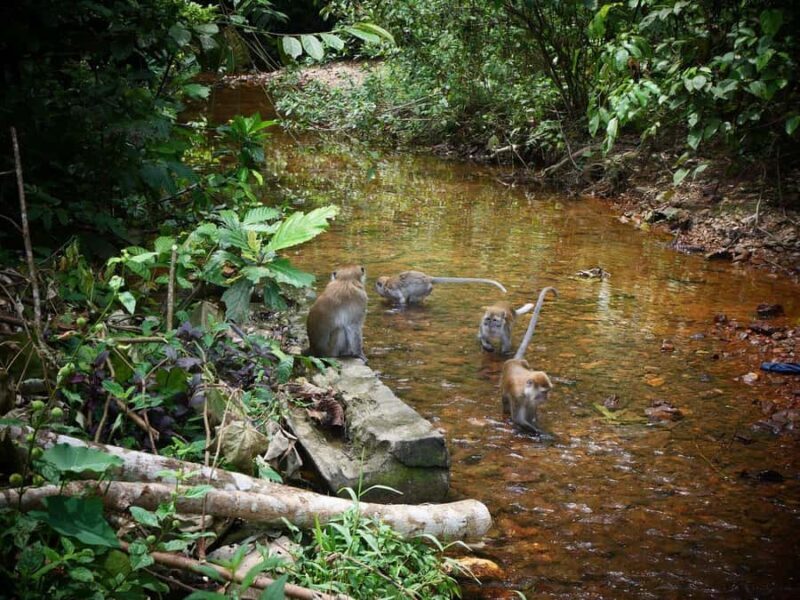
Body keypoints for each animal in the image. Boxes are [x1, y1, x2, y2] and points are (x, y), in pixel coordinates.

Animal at [374, 270, 507, 305]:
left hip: (419, 289)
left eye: (377, 284)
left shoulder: (391, 289)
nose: (375, 289)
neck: (386, 283)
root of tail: (429, 278)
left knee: (412, 297)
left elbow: (401, 300)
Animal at [499, 287, 558, 434]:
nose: (547, 398)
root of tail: (514, 361)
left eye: (548, 392)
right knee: (505, 404)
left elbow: (531, 415)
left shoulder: (531, 401)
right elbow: (518, 419)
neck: (526, 392)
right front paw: (544, 434)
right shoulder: (517, 397)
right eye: (544, 392)